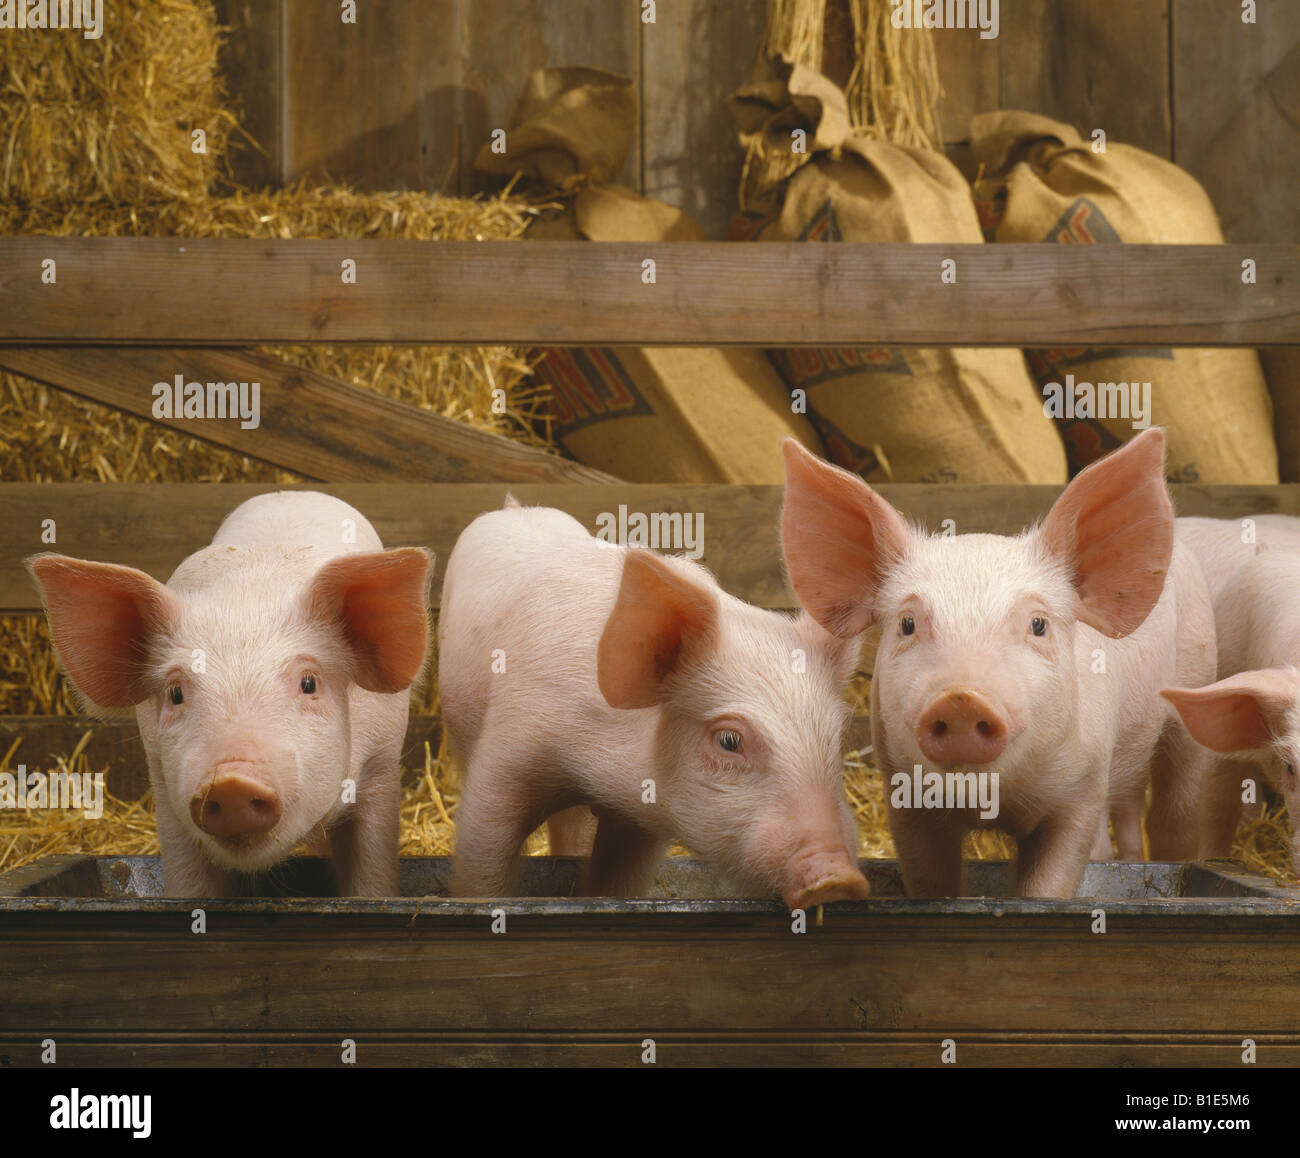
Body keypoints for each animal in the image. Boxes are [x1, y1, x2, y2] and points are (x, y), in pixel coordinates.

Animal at [28, 492, 431, 897]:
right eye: (176, 692)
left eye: (309, 683)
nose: (231, 782)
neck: (247, 599)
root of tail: (292, 493)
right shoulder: (162, 777)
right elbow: (189, 882)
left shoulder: (382, 761)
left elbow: (371, 874)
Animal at [439, 500, 871, 909]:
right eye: (729, 740)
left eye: (836, 739)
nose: (841, 877)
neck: (587, 769)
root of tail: (513, 508)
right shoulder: (507, 751)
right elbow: (483, 861)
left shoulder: (640, 820)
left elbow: (618, 882)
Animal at [780, 428, 1216, 898]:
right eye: (907, 624)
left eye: (1038, 624)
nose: (961, 699)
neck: (992, 800)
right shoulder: (903, 794)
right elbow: (930, 879)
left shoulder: (1081, 790)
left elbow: (1052, 881)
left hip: (1195, 684)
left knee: (1176, 800)